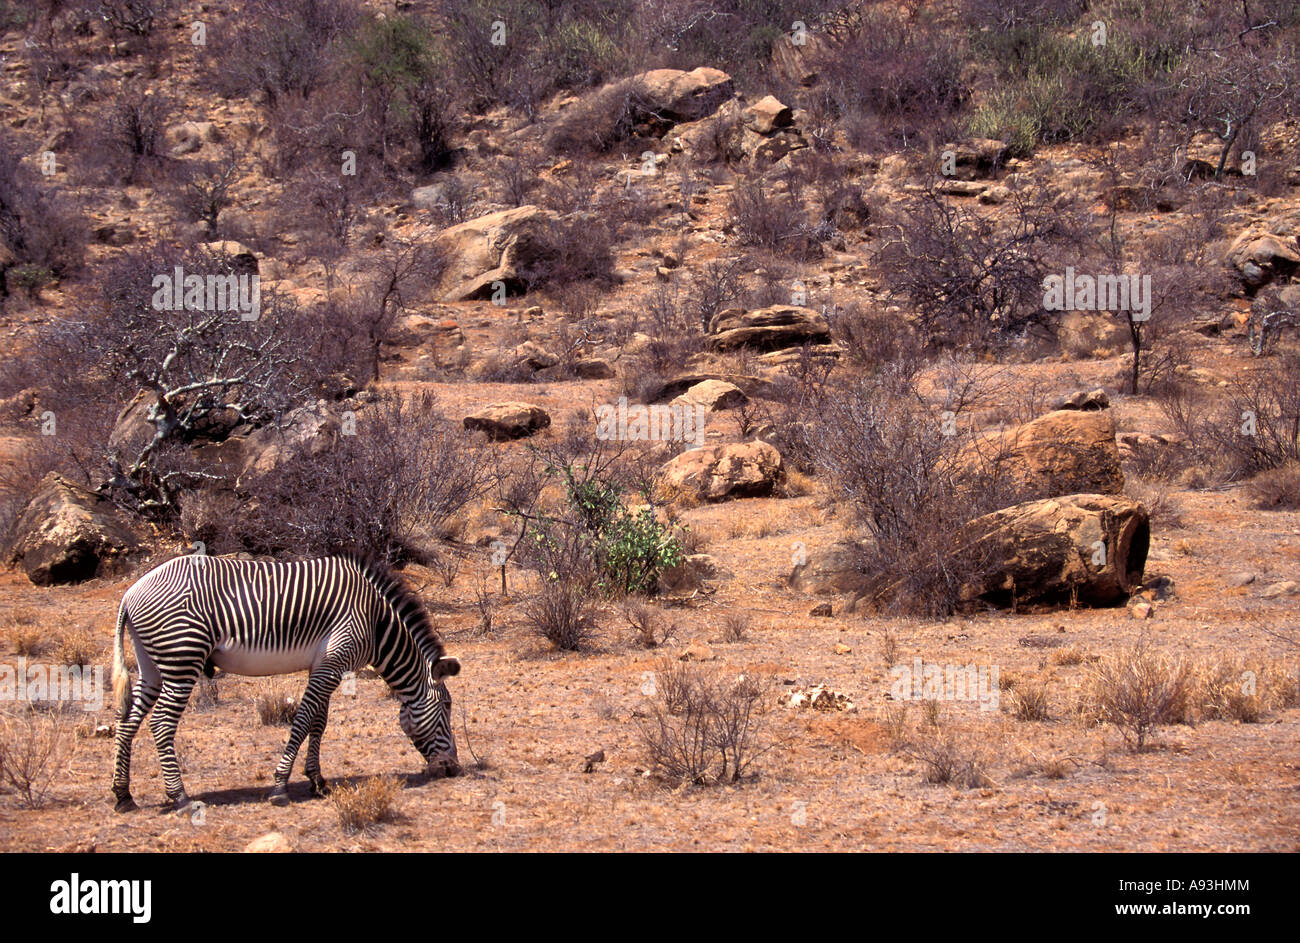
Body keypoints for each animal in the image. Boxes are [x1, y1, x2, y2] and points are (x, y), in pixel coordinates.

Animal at [110, 553, 461, 813]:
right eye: (447, 706)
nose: (454, 769)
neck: (376, 621)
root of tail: (129, 593)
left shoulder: (325, 665)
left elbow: (319, 723)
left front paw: (317, 781)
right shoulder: (333, 662)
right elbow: (303, 720)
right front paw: (280, 786)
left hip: (153, 665)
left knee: (126, 722)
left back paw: (123, 795)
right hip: (182, 659)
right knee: (160, 724)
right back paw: (180, 797)